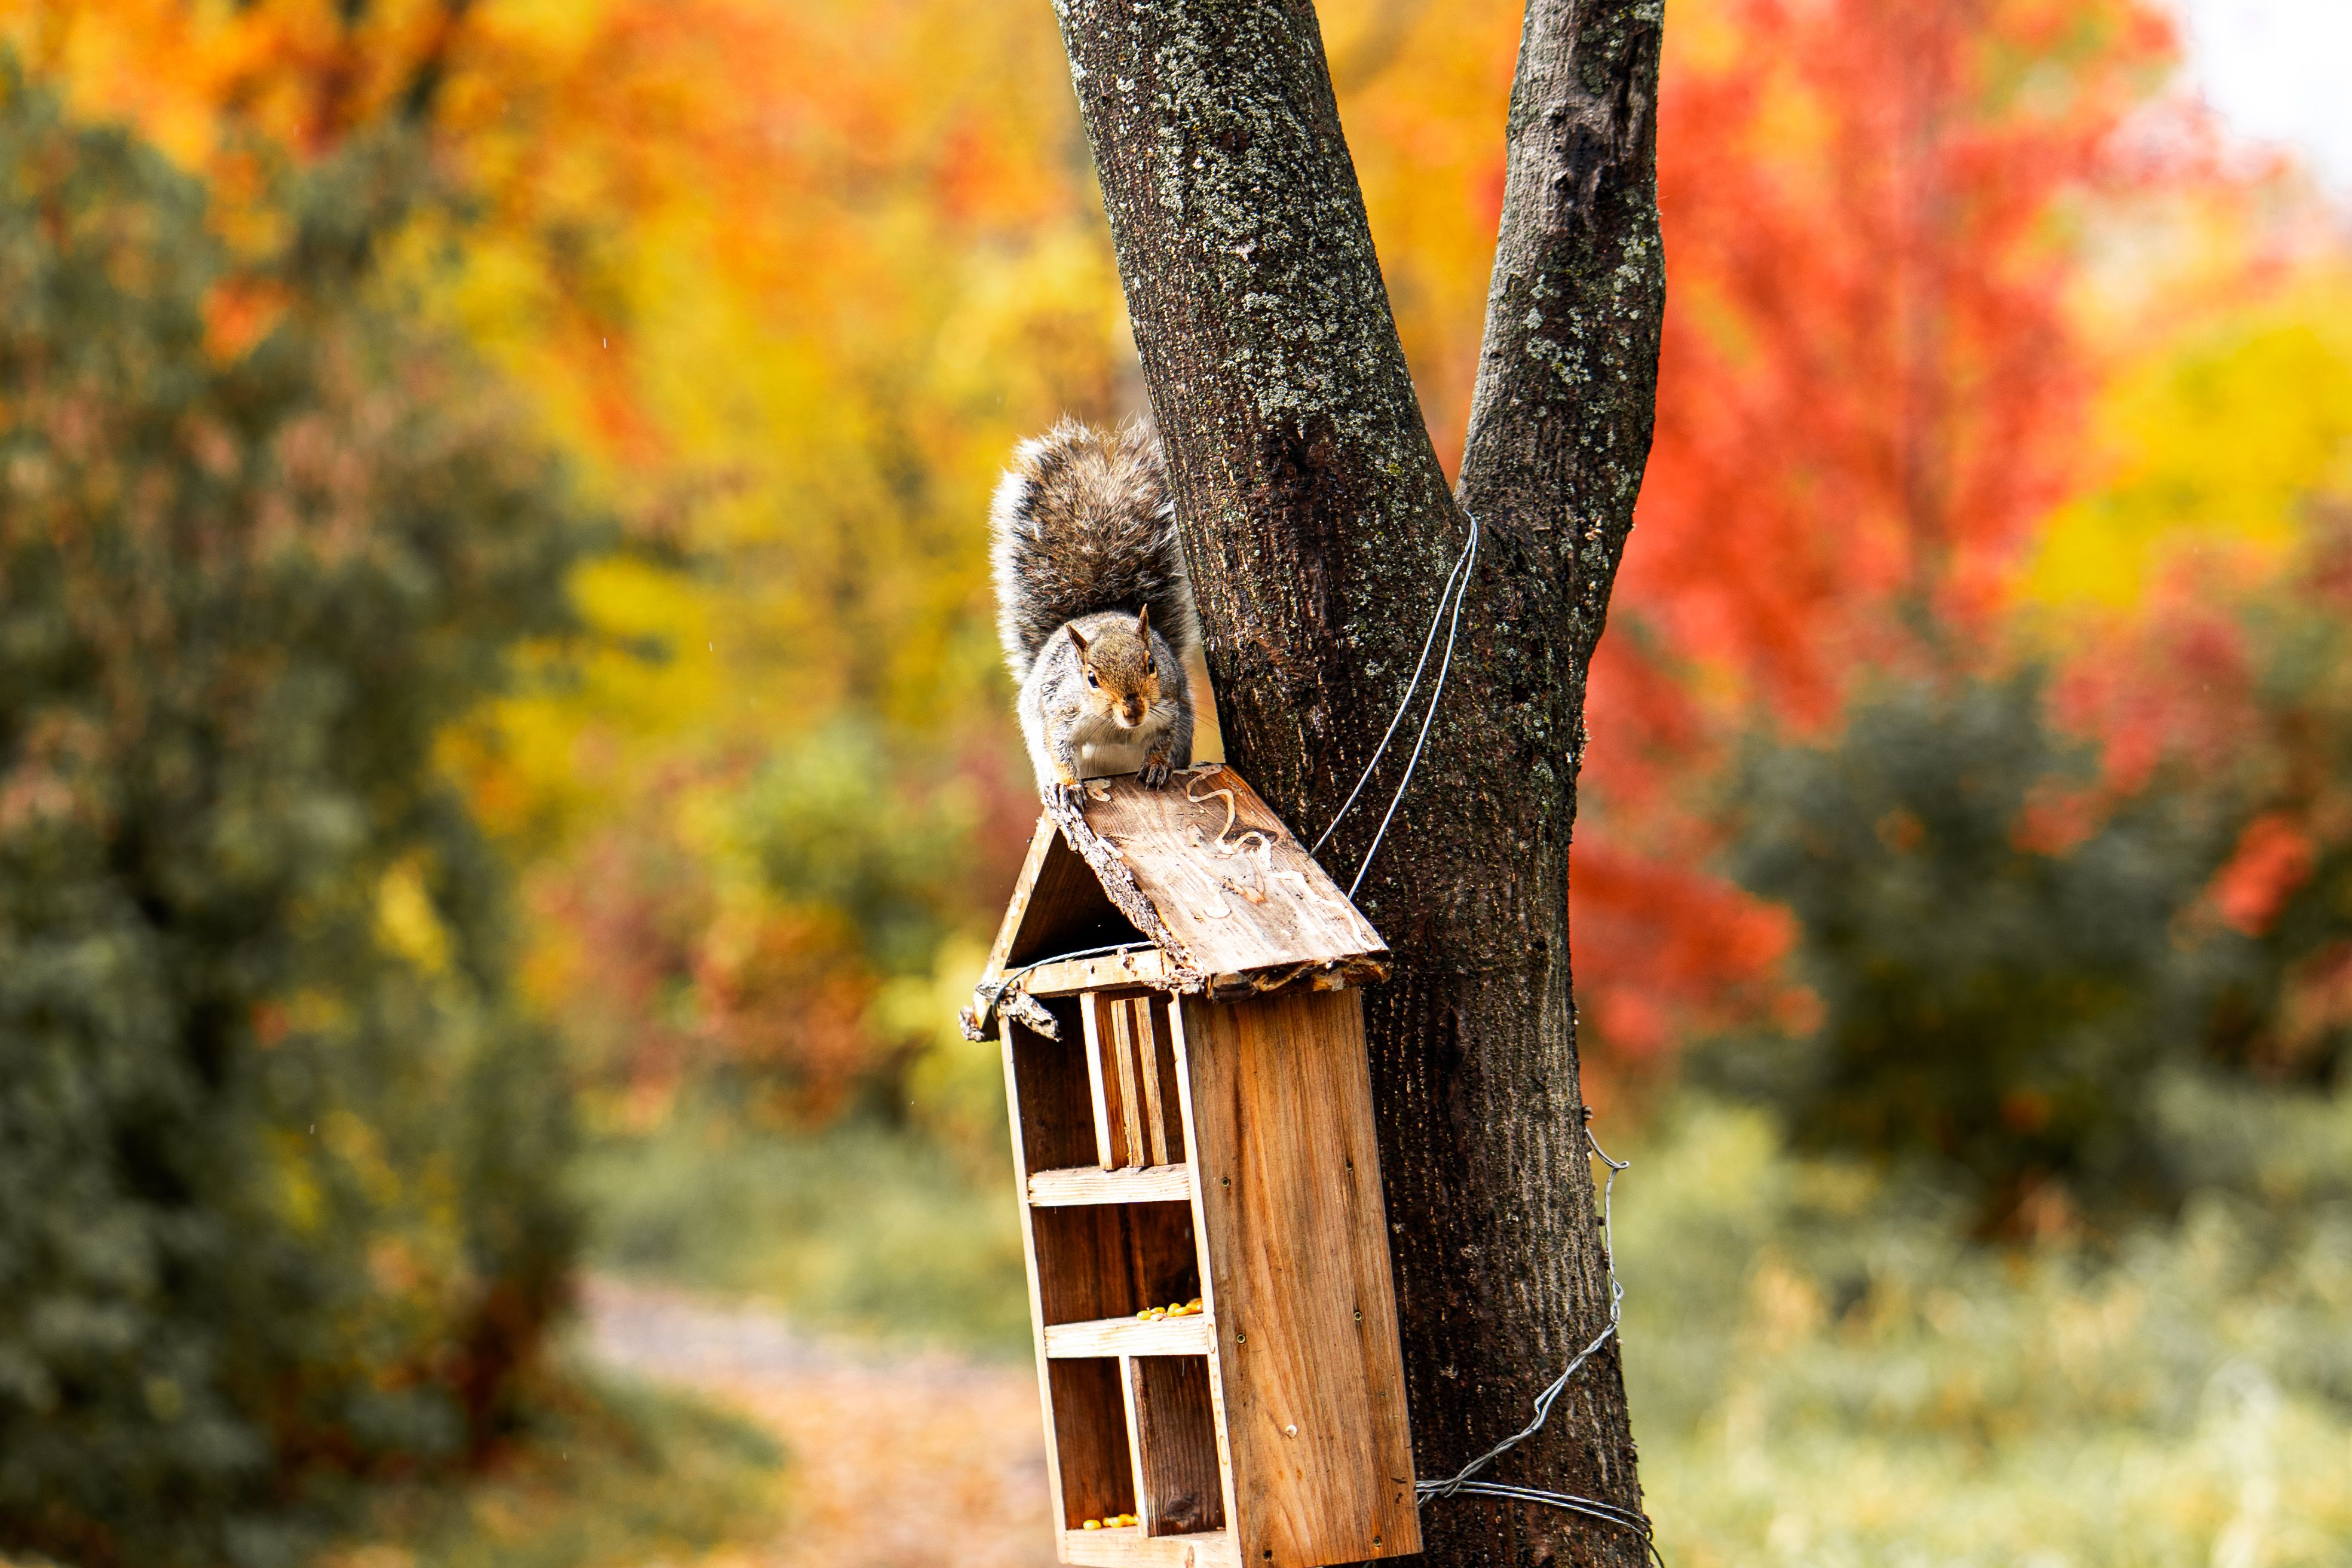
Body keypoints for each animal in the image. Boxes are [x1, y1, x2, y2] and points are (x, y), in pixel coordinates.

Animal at [990, 416, 1199, 807]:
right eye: (1091, 679)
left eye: (1152, 664)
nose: (1133, 710)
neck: (1116, 727)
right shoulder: (1061, 713)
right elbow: (1060, 749)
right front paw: (1068, 785)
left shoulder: (1171, 706)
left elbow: (1163, 739)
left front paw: (1158, 766)